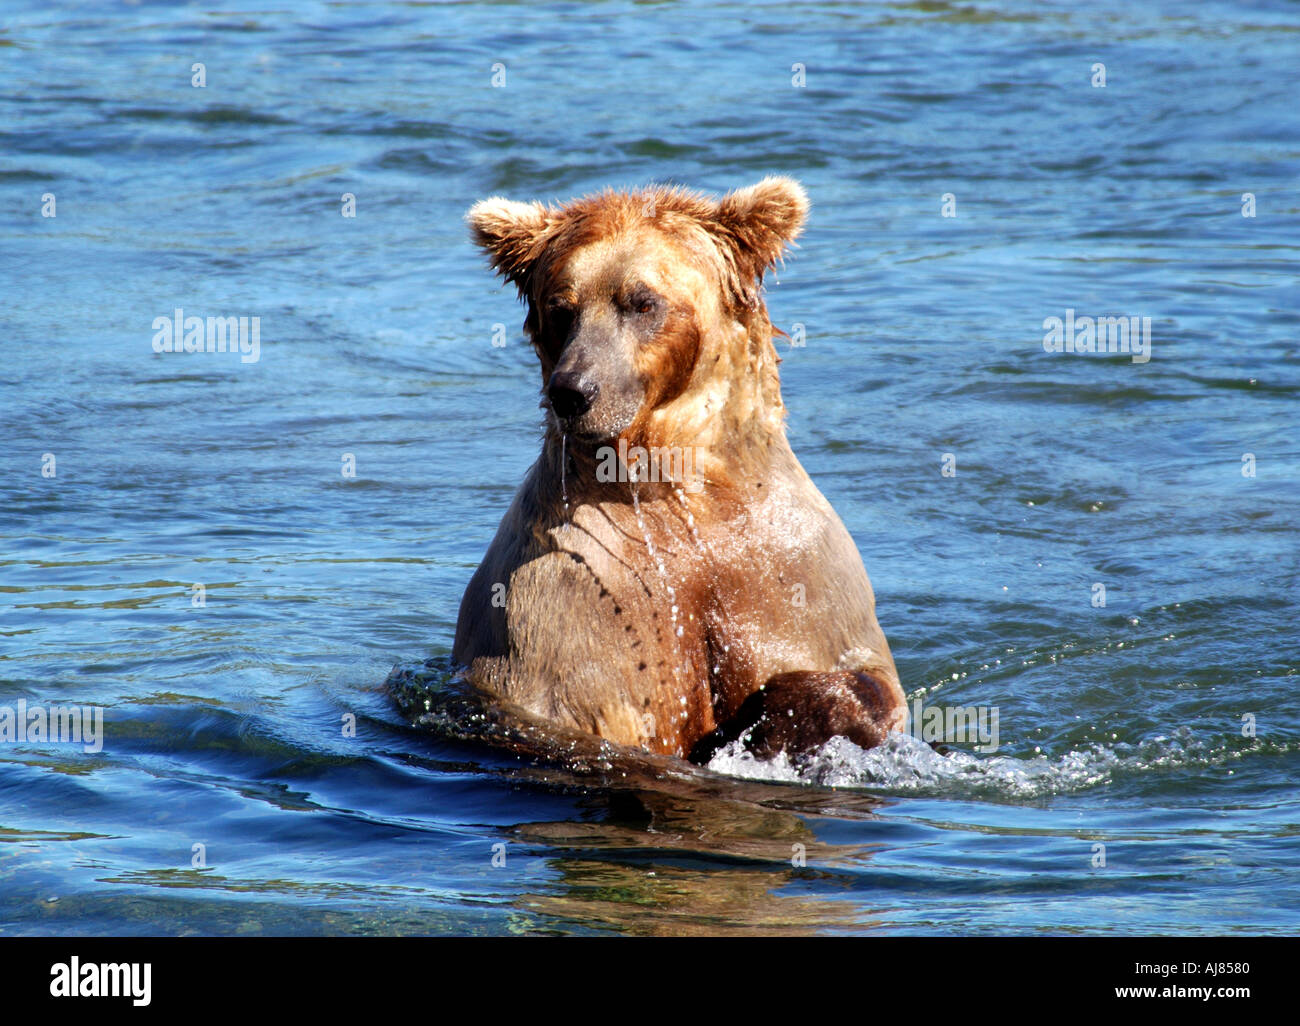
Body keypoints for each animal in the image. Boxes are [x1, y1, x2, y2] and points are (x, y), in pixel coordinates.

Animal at [453, 176, 906, 763]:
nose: (573, 390)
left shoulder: (791, 573)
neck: (668, 480)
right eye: (560, 307)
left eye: (641, 301)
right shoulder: (566, 598)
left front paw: (779, 714)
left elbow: (864, 674)